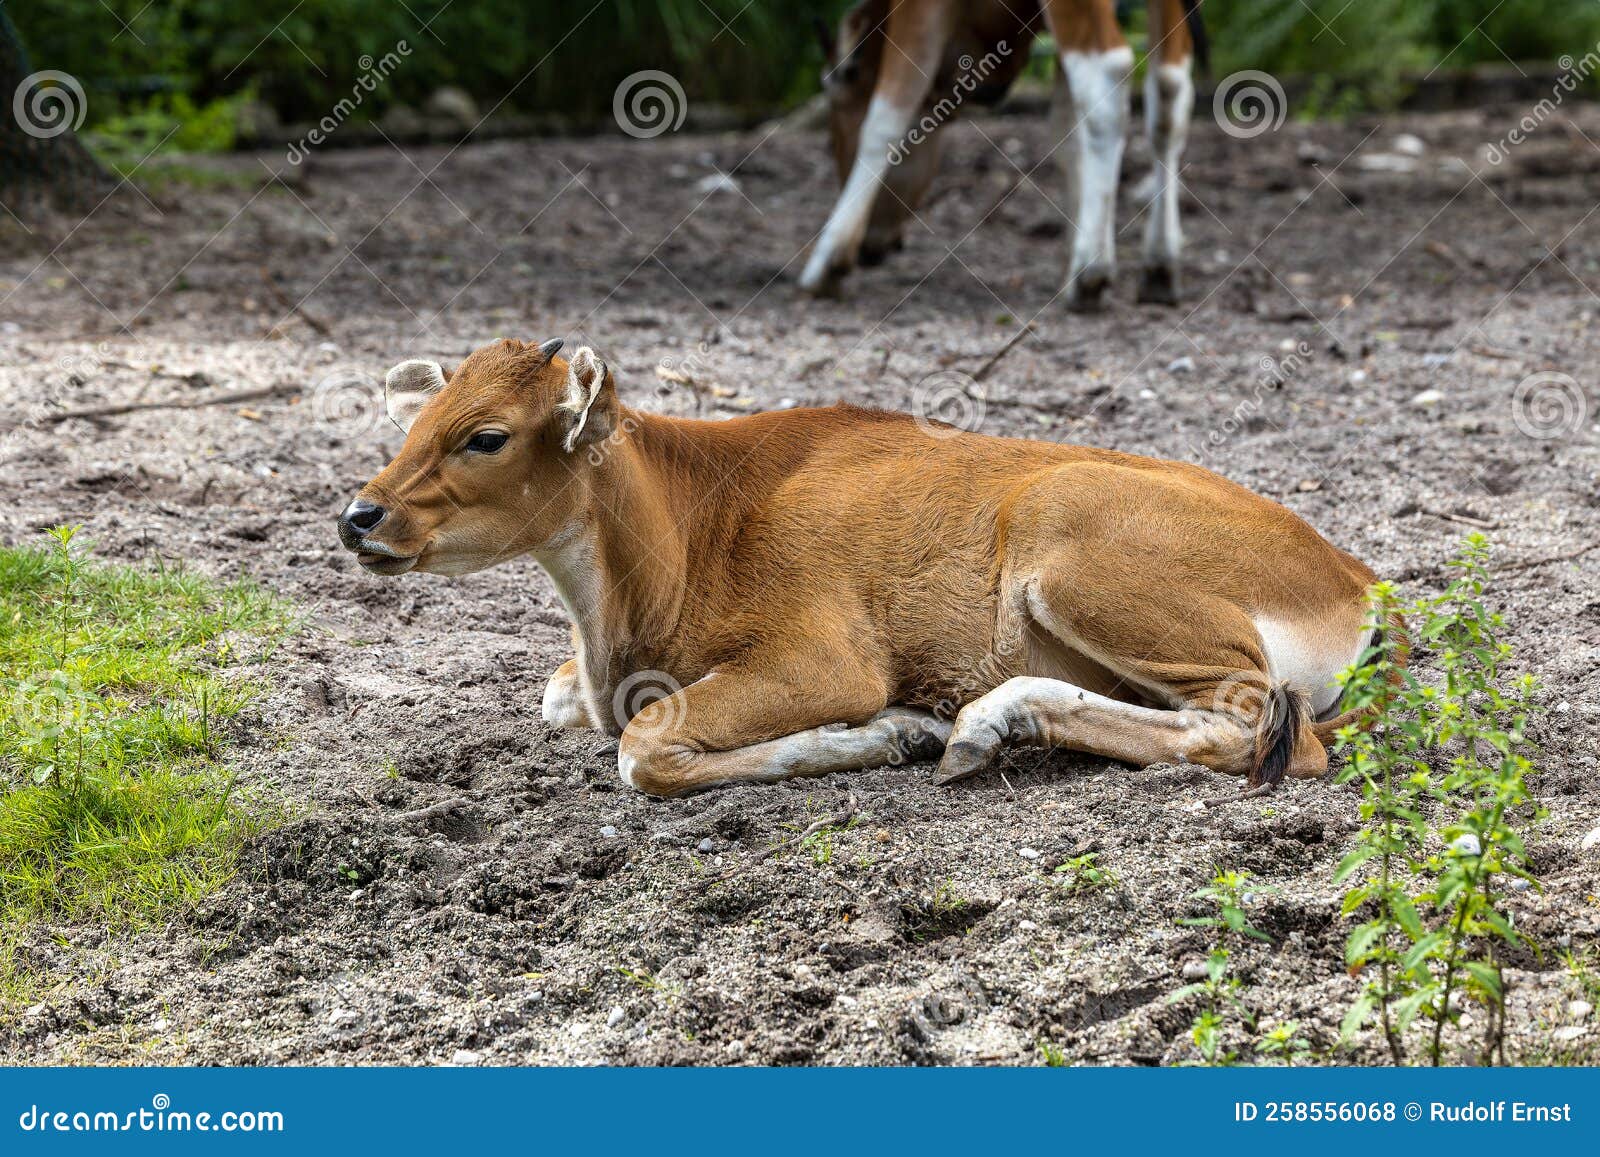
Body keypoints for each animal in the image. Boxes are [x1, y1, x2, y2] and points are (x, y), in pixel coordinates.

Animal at [336, 337, 1383, 800]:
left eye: (486, 434)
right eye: (418, 418)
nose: (359, 516)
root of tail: (1358, 584)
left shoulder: (827, 656)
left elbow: (644, 745)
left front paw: (890, 732)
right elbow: (565, 699)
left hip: (1078, 550)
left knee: (1262, 727)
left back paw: (976, 724)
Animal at [802, 0, 1203, 310]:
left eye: (831, 140)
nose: (873, 245)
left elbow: (887, 115)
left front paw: (828, 259)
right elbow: (1067, 131)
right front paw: (1068, 264)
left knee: (1108, 72)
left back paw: (1093, 271)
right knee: (1169, 89)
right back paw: (1159, 266)